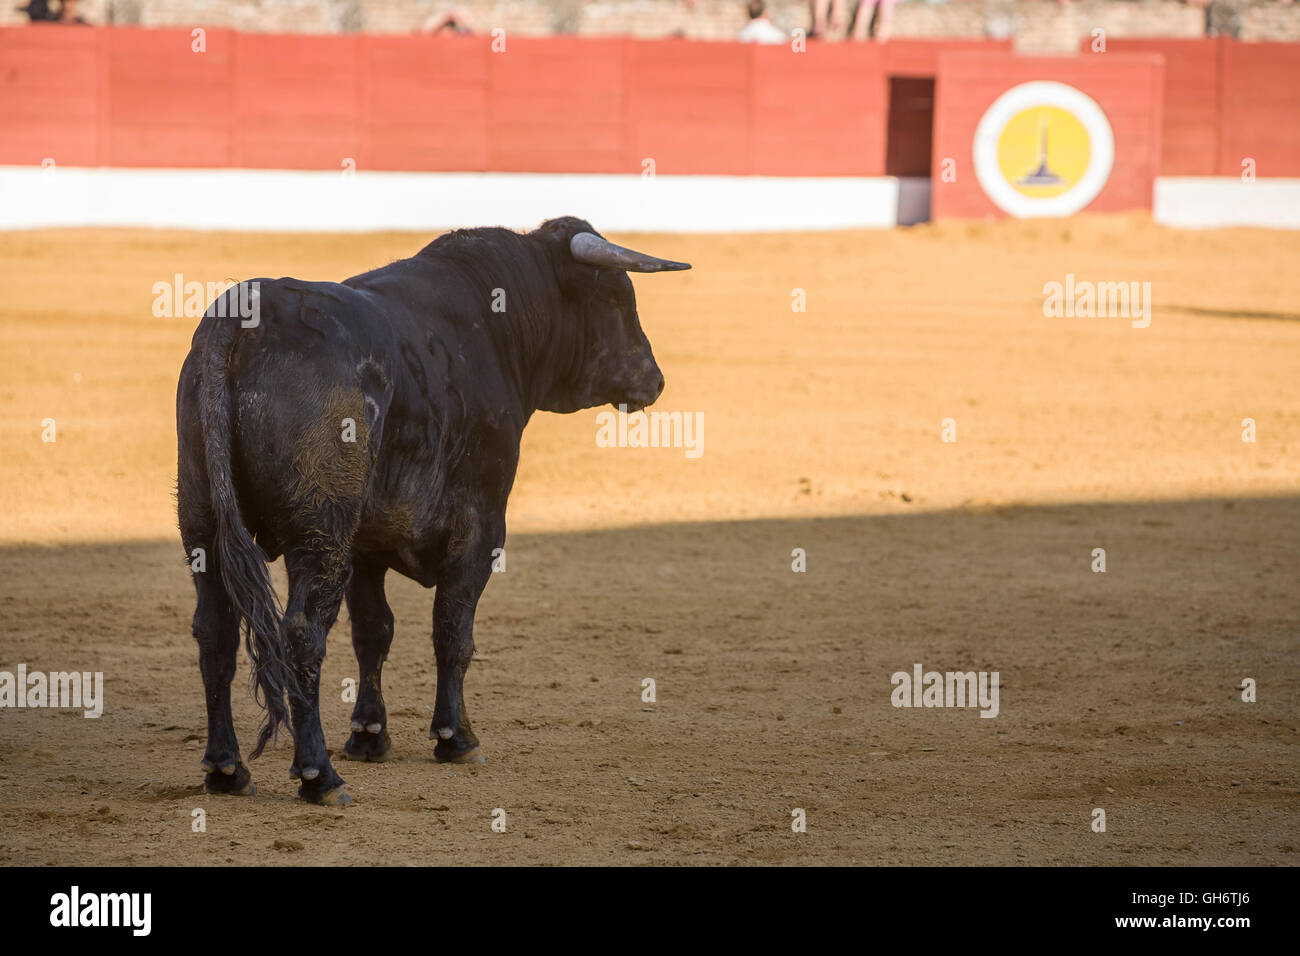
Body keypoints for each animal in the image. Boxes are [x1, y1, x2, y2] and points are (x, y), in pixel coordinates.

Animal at [176, 216, 689, 805]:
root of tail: (242, 319)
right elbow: (453, 629)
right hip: (320, 532)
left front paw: (369, 733)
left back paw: (226, 768)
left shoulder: (365, 544)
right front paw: (455, 738)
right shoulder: (481, 528)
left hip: (203, 527)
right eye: (616, 298)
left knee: (214, 631)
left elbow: (373, 630)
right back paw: (319, 774)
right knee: (302, 634)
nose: (654, 379)